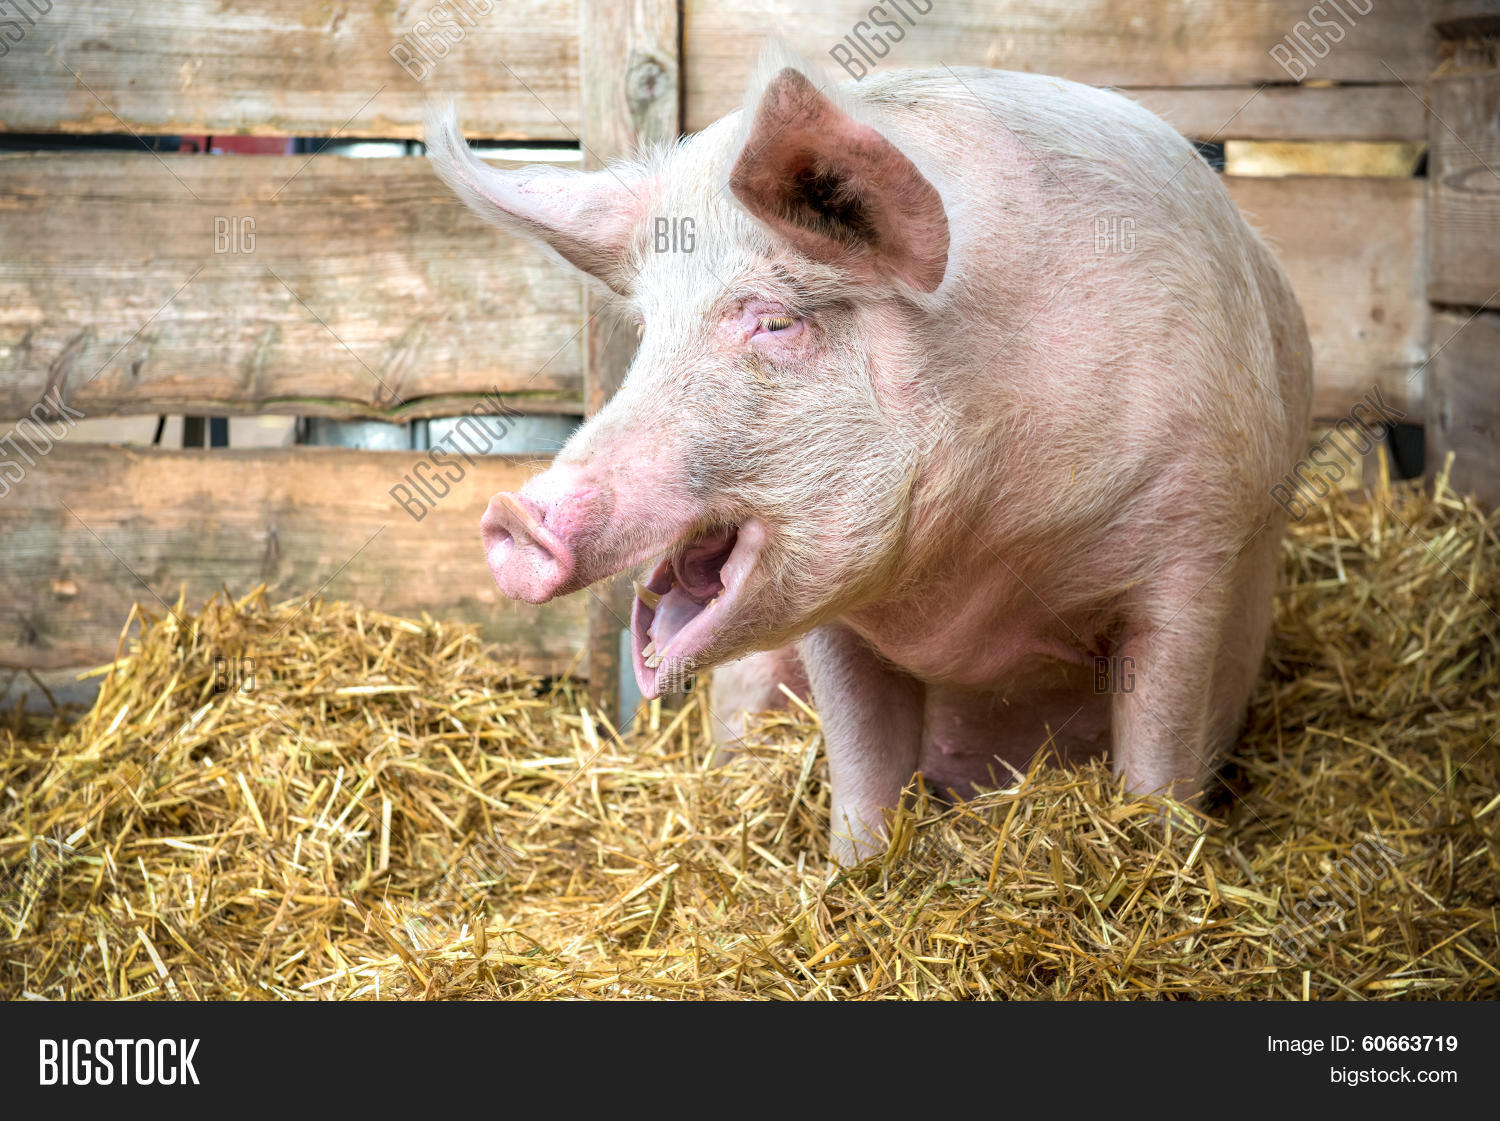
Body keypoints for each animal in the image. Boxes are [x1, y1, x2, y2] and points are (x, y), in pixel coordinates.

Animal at [426, 55, 1312, 865]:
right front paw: (853, 873)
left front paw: (1158, 857)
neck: (973, 588)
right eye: (649, 329)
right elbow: (861, 759)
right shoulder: (831, 614)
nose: (513, 515)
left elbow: (1158, 744)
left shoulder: (1196, 539)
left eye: (775, 321)